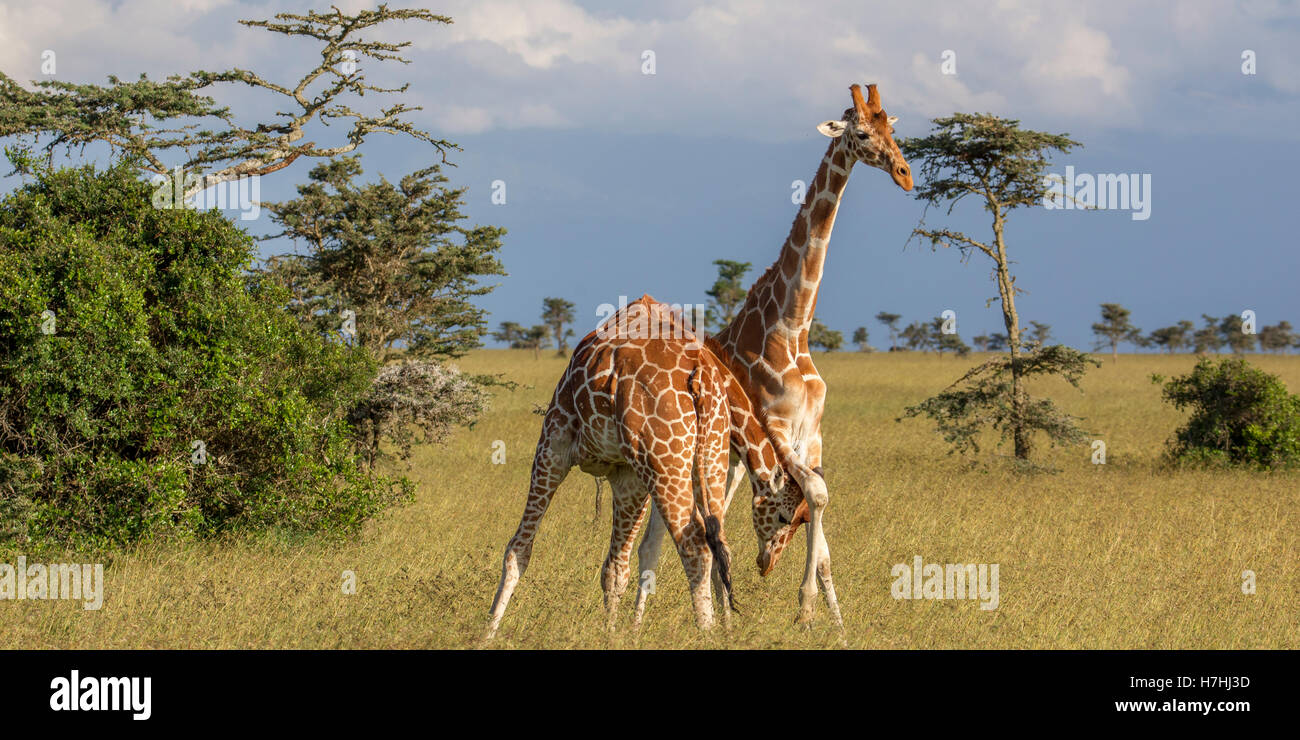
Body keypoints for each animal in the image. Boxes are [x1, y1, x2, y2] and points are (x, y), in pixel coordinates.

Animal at [486, 297, 806, 638]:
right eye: (786, 518)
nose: (767, 564)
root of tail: (702, 375)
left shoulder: (555, 440)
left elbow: (518, 550)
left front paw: (487, 632)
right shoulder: (629, 475)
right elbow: (617, 568)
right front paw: (611, 635)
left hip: (664, 462)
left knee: (695, 546)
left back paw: (706, 633)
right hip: (708, 459)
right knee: (716, 544)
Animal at [635, 83, 914, 626]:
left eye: (892, 129)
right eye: (861, 133)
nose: (904, 174)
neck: (792, 327)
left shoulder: (813, 433)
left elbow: (820, 513)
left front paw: (836, 625)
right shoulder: (779, 429)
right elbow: (816, 496)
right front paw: (805, 611)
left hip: (729, 460)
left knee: (711, 520)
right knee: (668, 532)